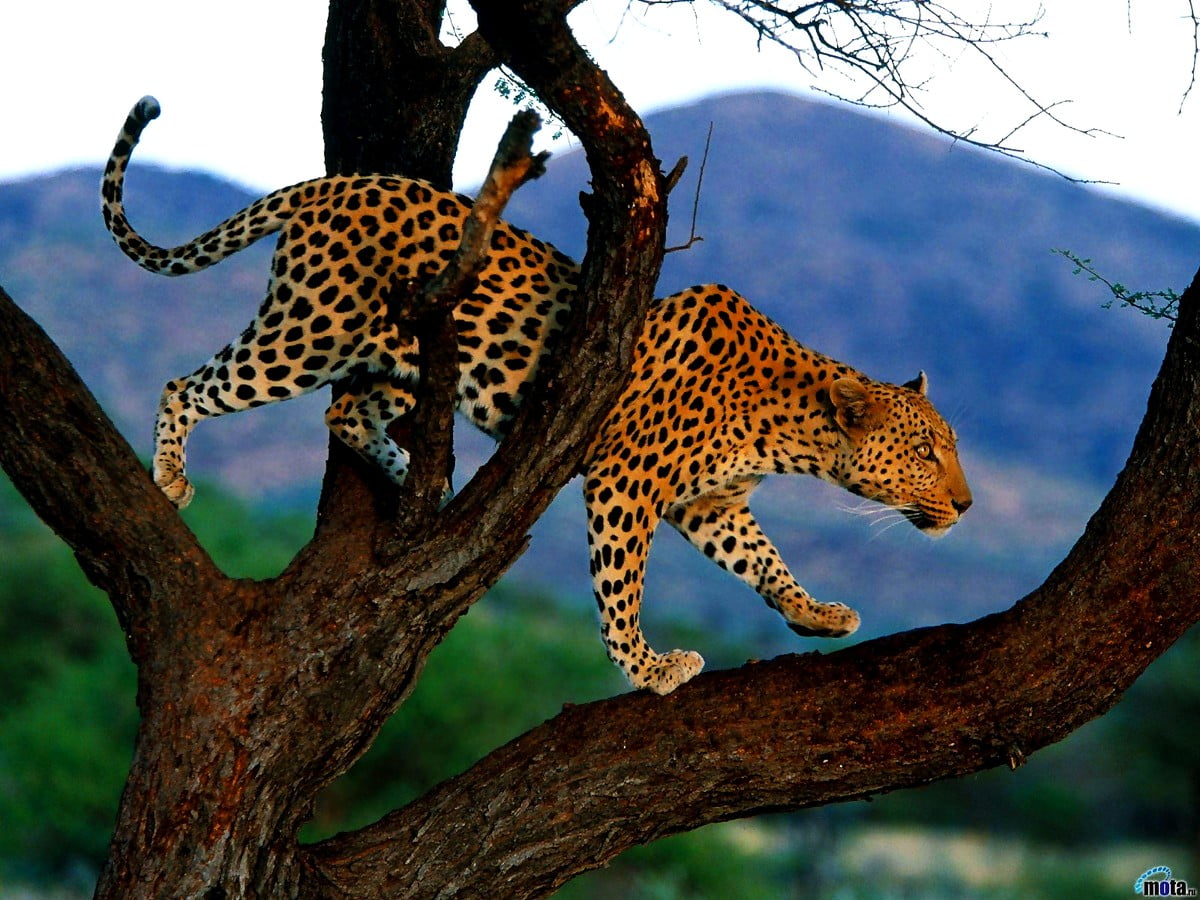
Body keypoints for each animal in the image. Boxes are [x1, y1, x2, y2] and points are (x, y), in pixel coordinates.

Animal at [101, 96, 972, 694]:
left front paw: (814, 612)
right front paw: (649, 668)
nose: (965, 505)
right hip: (308, 332)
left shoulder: (712, 503)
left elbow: (765, 558)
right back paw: (172, 476)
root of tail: (335, 183)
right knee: (193, 384)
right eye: (929, 452)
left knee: (346, 411)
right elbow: (621, 585)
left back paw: (424, 481)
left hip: (397, 357)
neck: (791, 429)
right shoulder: (627, 481)